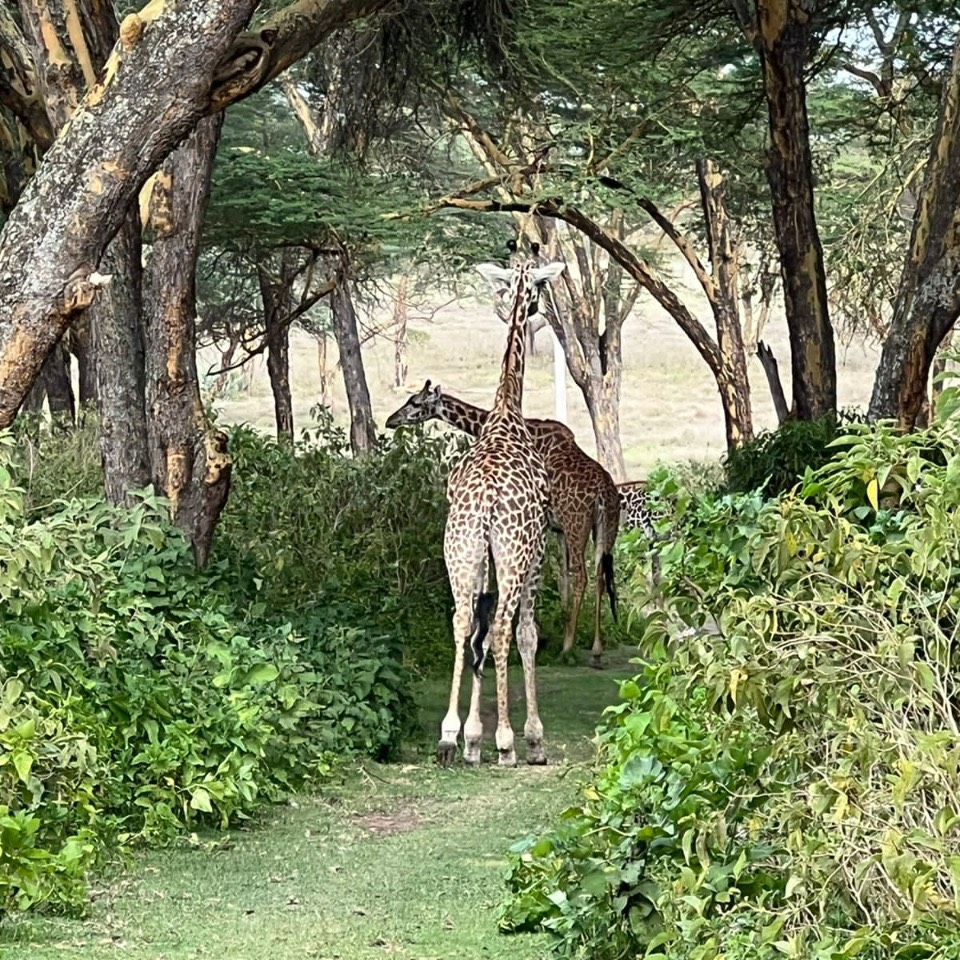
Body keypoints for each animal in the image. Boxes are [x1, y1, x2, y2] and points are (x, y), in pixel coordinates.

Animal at [386, 382, 620, 668]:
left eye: (416, 402)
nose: (390, 420)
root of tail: (603, 494)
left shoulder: (542, 524)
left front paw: (545, 636)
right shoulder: (557, 529)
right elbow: (561, 580)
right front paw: (555, 629)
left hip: (577, 524)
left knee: (584, 576)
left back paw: (567, 649)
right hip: (606, 528)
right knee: (599, 575)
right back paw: (595, 650)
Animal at [430, 255, 560, 764]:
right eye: (539, 287)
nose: (537, 310)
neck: (506, 409)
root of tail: (485, 503)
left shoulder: (480, 559)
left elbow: (476, 637)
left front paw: (471, 736)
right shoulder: (538, 552)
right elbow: (526, 634)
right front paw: (528, 735)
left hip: (460, 550)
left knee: (462, 622)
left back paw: (449, 736)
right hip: (512, 554)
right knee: (504, 626)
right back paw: (508, 741)